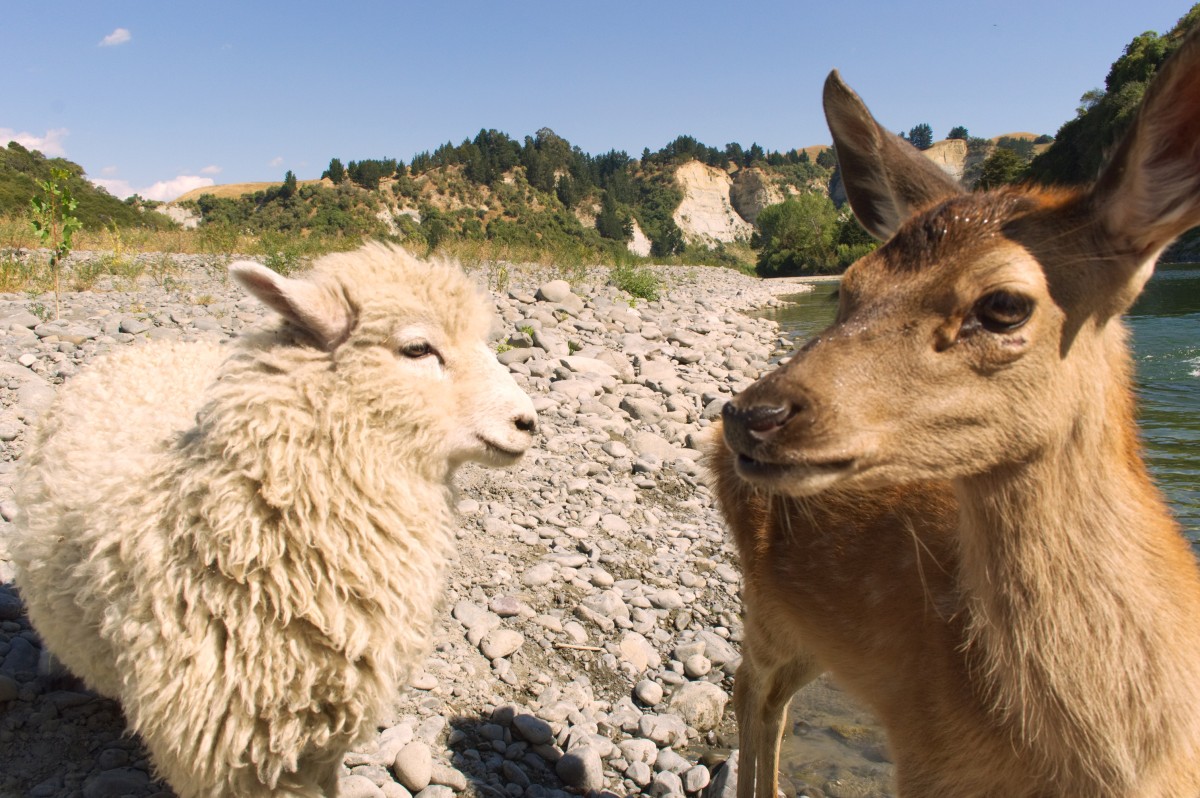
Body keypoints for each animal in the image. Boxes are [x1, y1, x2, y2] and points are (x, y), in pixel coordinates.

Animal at [708, 25, 1200, 798]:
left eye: (1004, 305)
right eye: (850, 284)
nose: (751, 413)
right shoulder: (929, 755)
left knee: (773, 694)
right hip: (767, 604)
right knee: (747, 686)